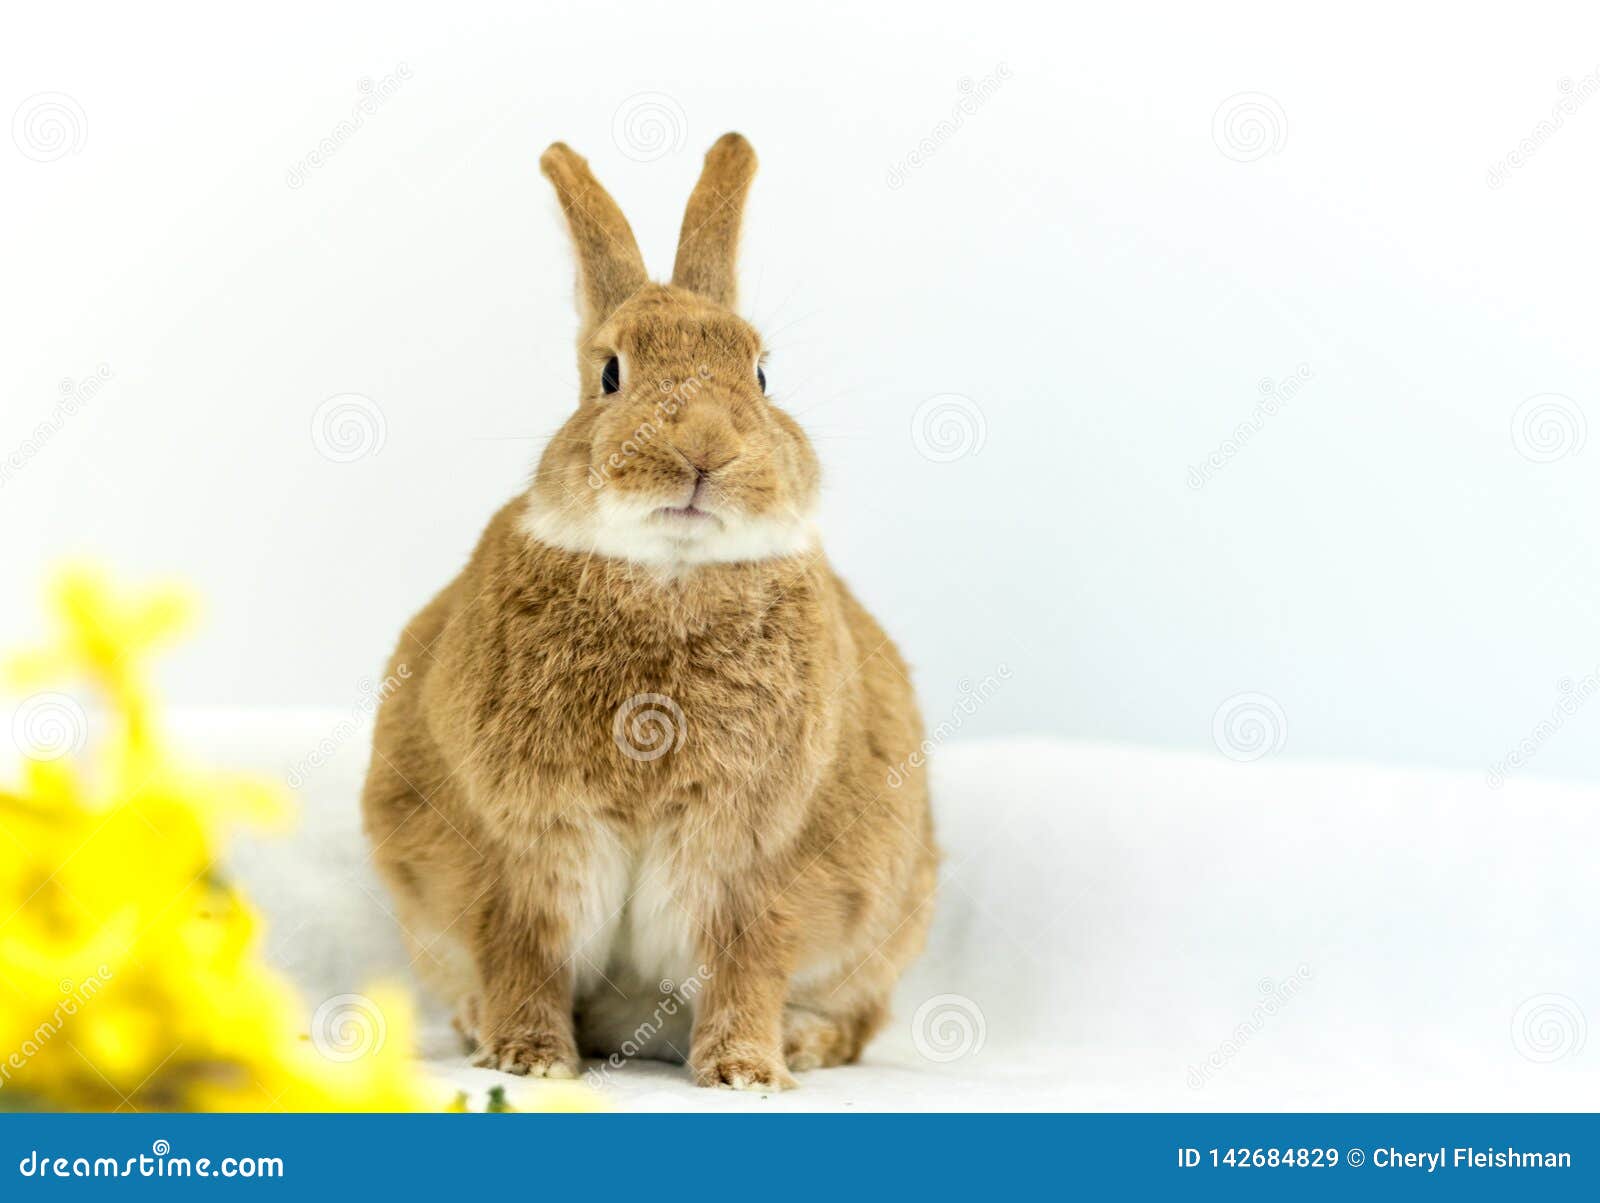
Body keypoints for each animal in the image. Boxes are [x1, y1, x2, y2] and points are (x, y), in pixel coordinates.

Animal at [360, 132, 937, 1091]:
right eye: (610, 373)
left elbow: (748, 964)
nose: (703, 446)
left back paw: (804, 1043)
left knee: (857, 1016)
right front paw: (528, 1059)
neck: (668, 575)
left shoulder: (752, 862)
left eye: (760, 371)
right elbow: (522, 954)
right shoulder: (522, 852)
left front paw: (745, 1071)